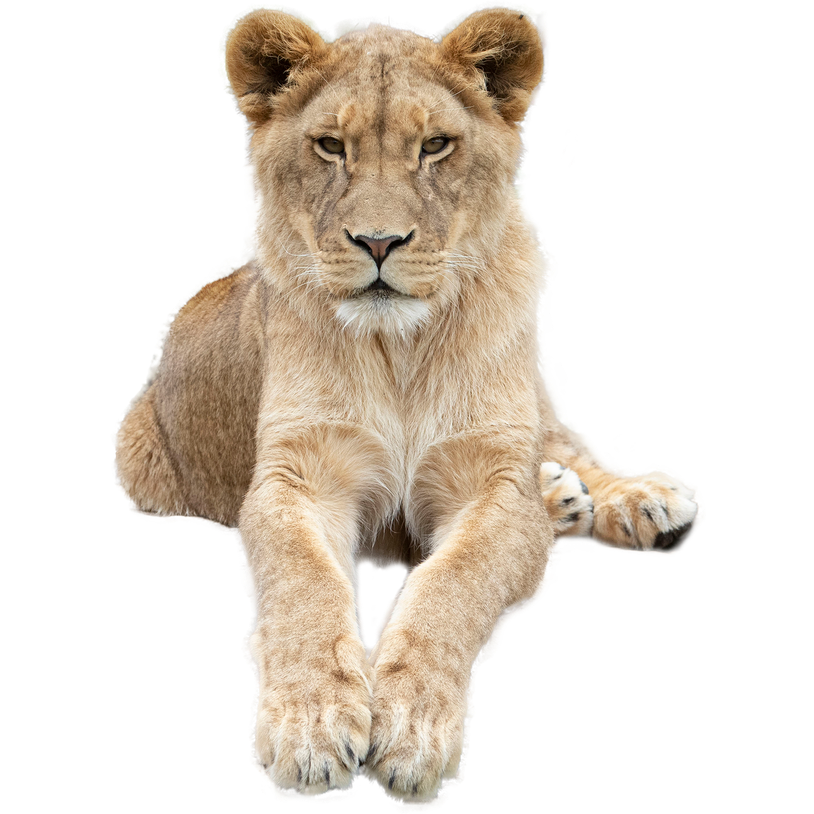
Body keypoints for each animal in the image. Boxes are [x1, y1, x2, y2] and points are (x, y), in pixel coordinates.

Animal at [111, 7, 703, 808]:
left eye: (435, 146)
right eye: (331, 146)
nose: (379, 241)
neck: (399, 351)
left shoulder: (492, 482)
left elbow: (455, 582)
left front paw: (412, 726)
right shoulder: (296, 478)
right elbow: (303, 583)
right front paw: (310, 727)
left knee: (568, 442)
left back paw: (639, 499)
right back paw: (564, 500)